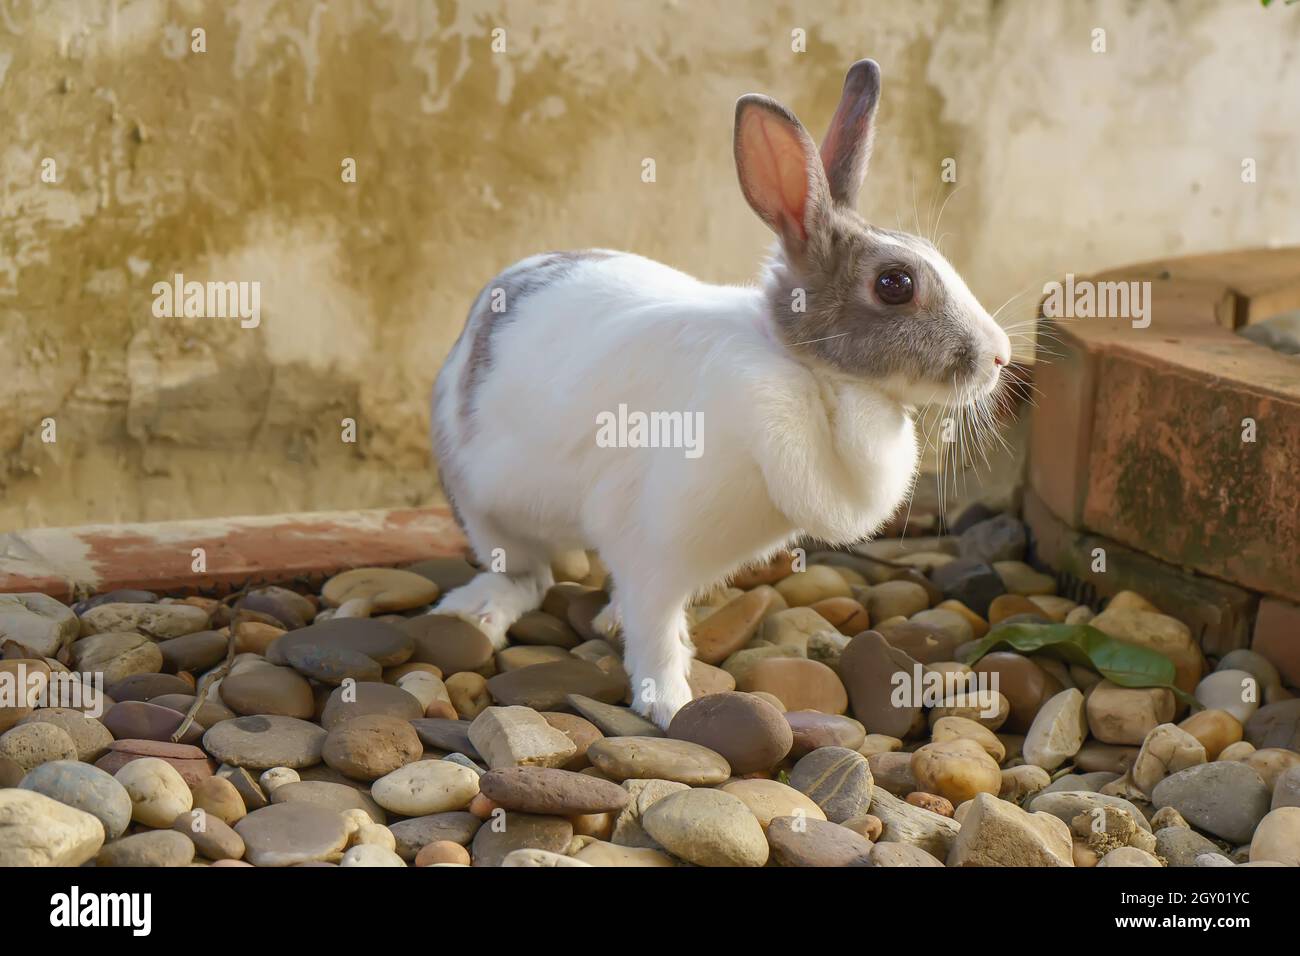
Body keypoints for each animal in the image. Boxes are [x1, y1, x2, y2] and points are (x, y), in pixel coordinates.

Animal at [430, 59, 1012, 728]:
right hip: (484, 510)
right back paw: (478, 613)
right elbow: (655, 631)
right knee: (524, 576)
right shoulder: (650, 547)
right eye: (895, 284)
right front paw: (668, 704)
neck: (810, 374)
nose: (1001, 355)